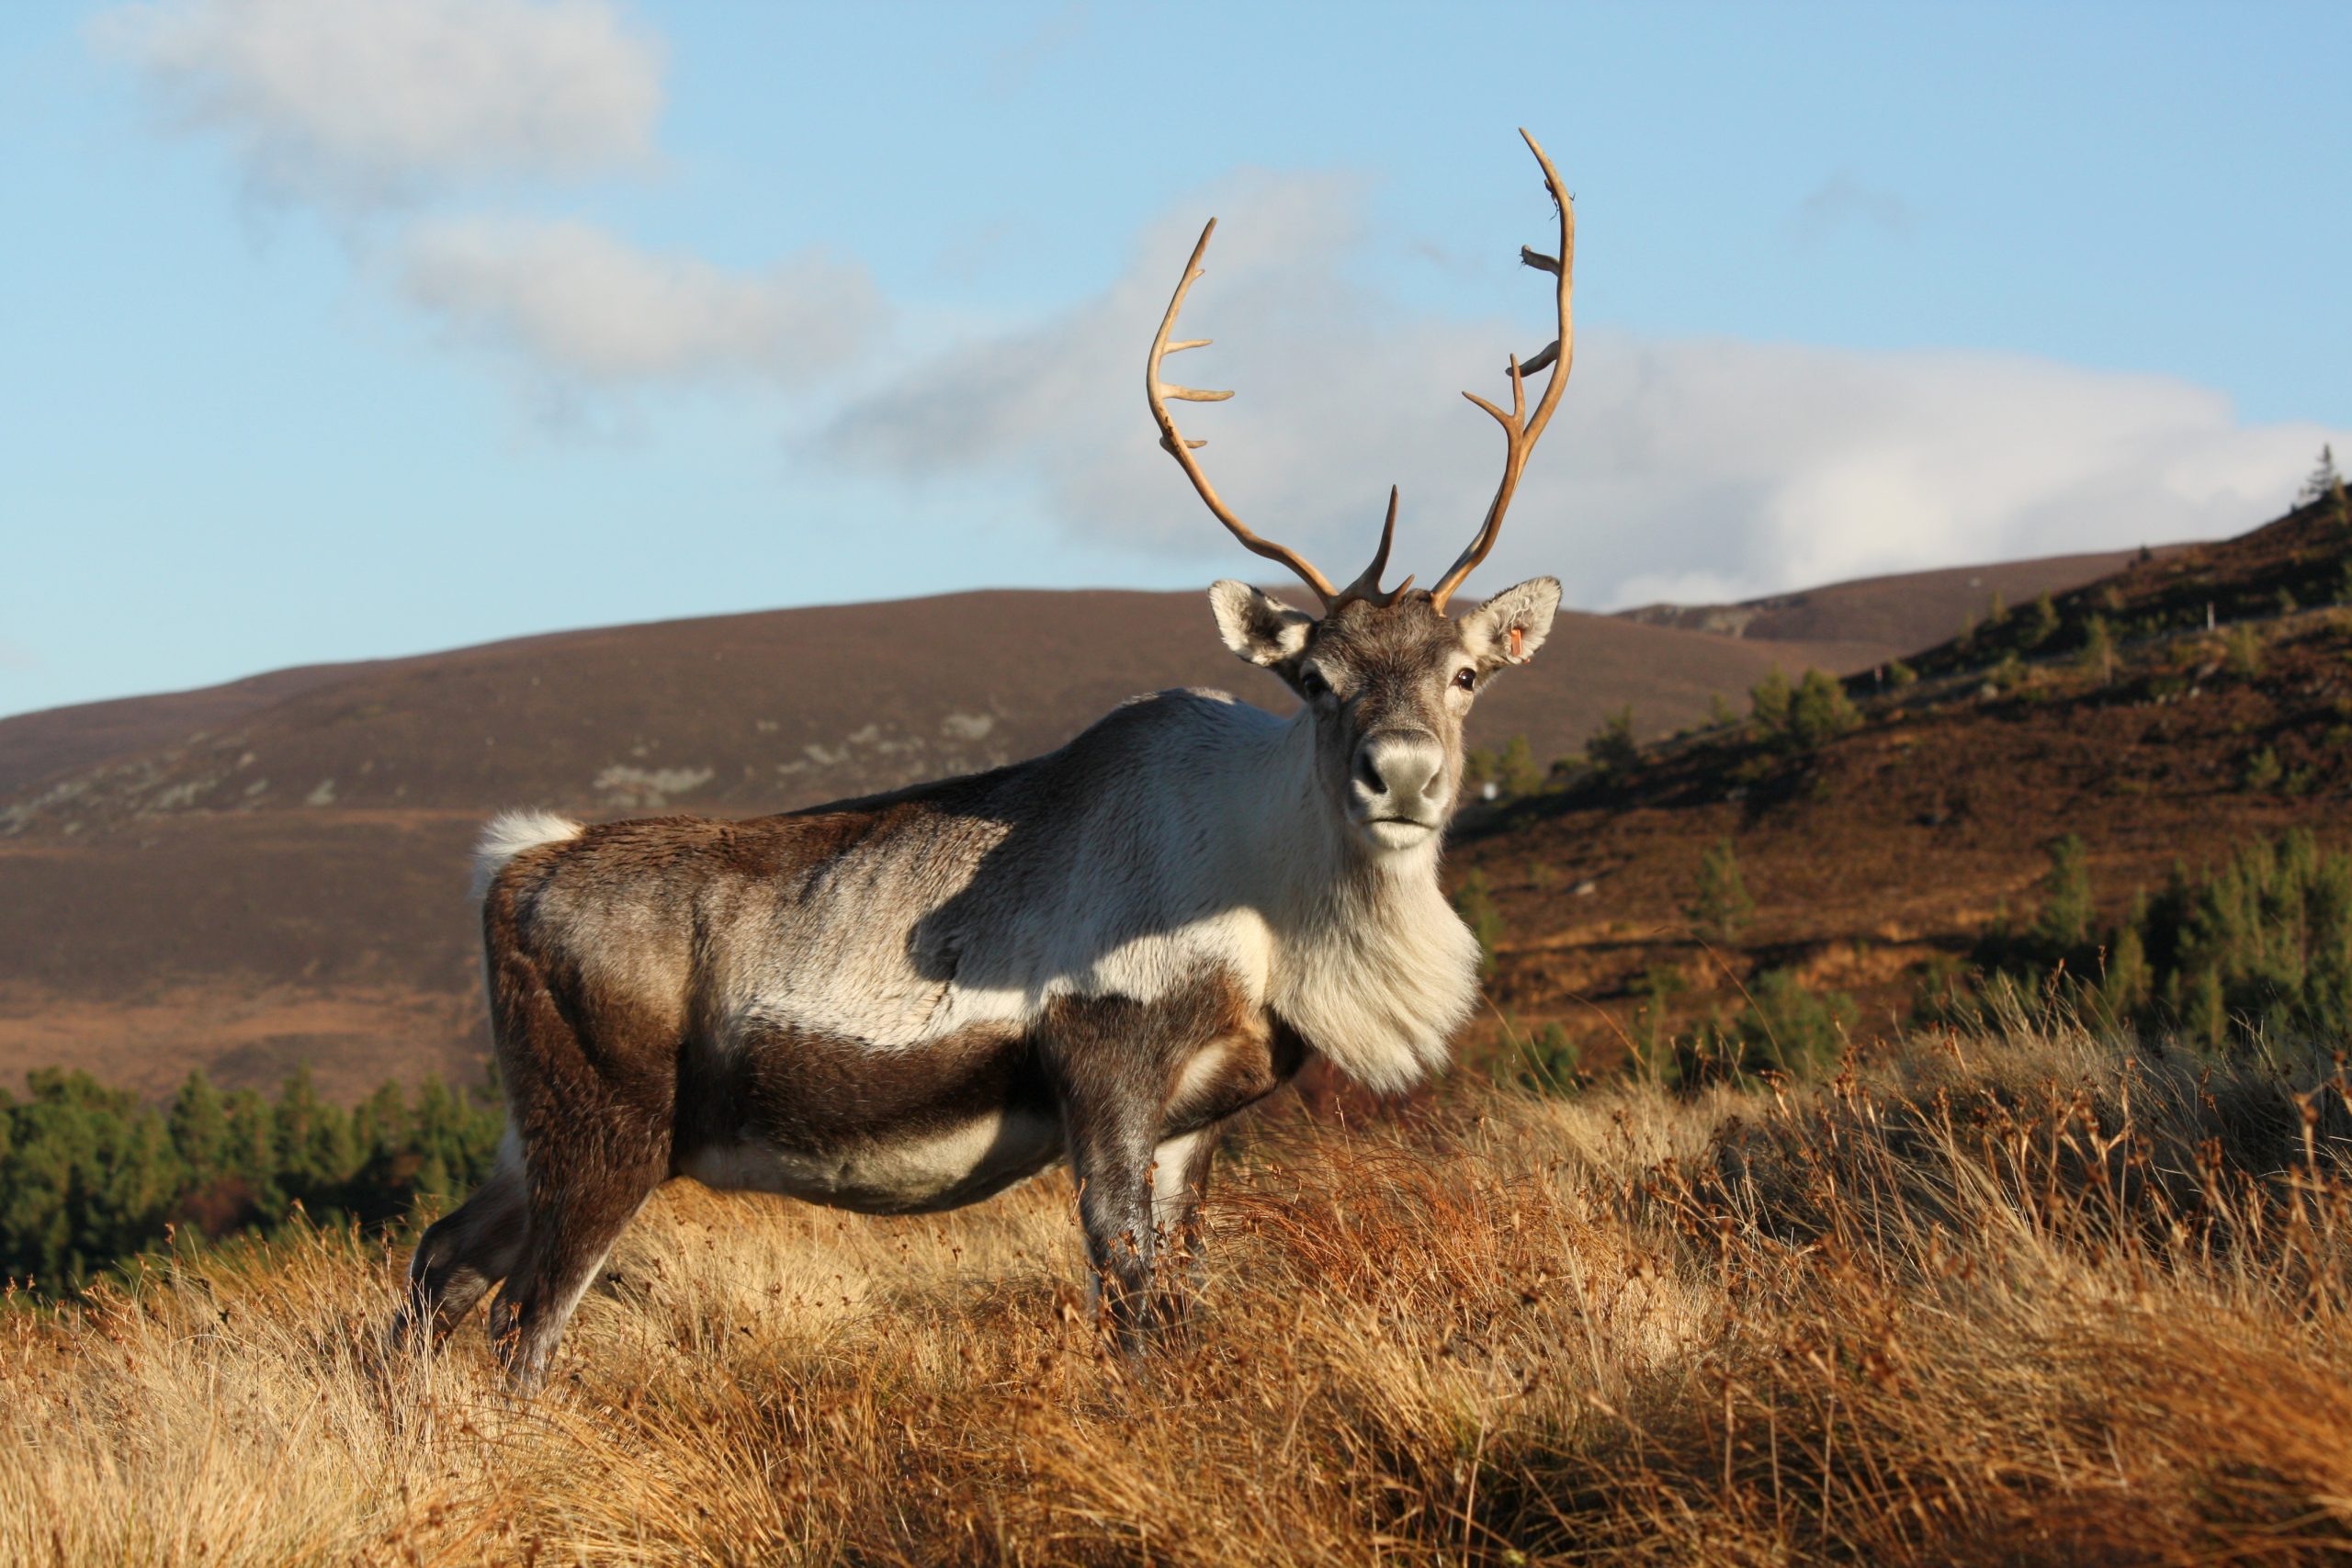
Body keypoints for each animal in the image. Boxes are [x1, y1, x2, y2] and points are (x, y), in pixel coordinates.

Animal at [393, 129, 1576, 1390]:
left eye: (1467, 674)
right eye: (1313, 679)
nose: (1399, 774)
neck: (1273, 906)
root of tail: (513, 866)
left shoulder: (1198, 1120)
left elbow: (1185, 1294)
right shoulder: (1104, 1072)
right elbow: (1125, 1287)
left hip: (528, 1135)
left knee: (438, 1259)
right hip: (606, 1133)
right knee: (523, 1326)